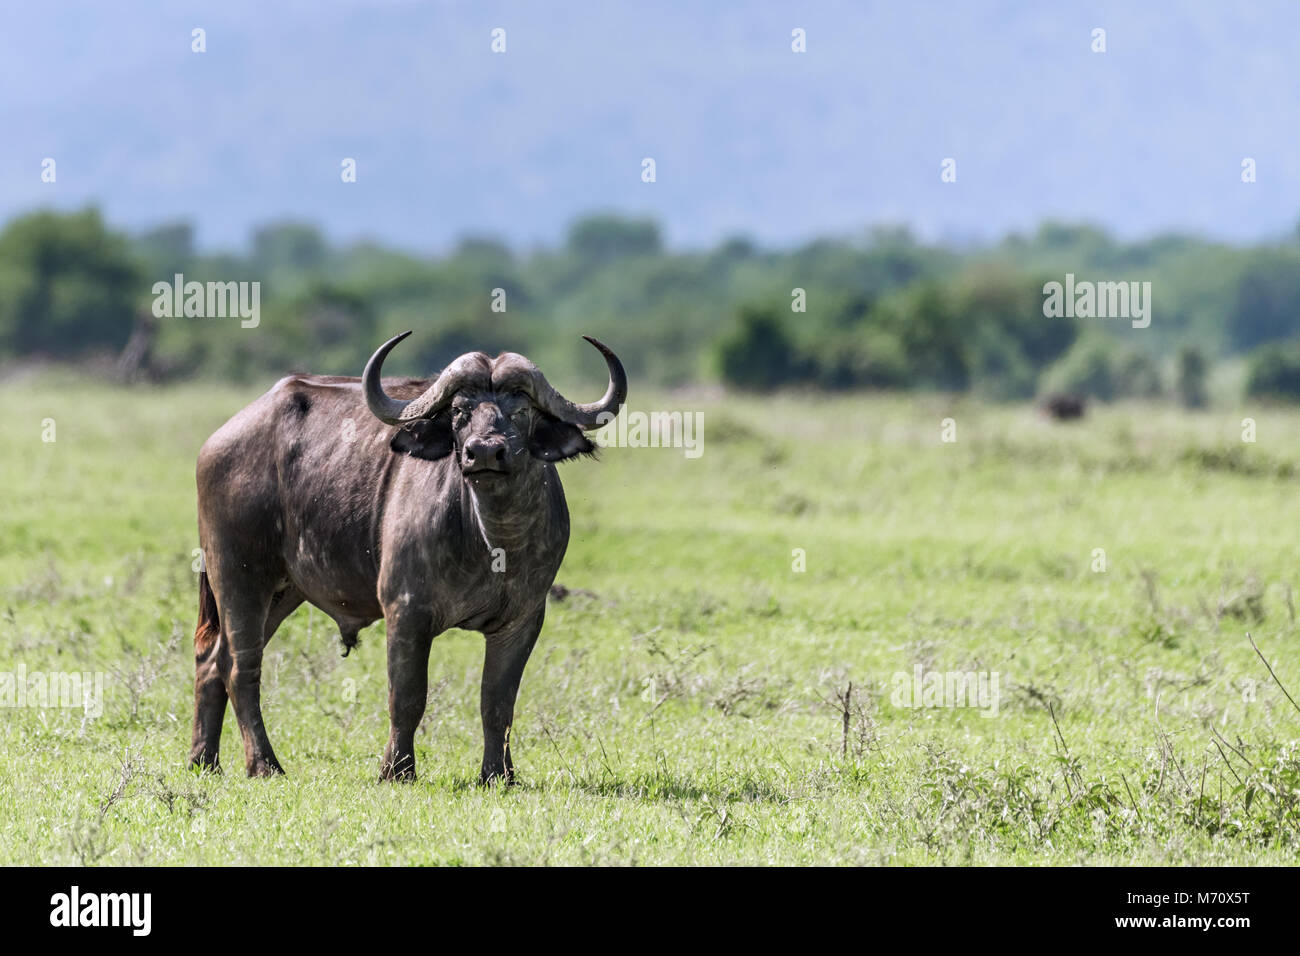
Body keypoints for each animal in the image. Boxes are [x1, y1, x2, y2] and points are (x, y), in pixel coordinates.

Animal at [190, 332, 626, 783]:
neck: (492, 541)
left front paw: (498, 774)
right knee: (242, 668)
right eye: (459, 411)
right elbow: (408, 696)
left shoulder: (522, 620)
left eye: (520, 411)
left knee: (213, 659)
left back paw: (204, 760)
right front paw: (396, 770)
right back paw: (264, 764)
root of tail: (218, 442)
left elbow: (497, 702)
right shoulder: (406, 612)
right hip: (239, 576)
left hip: (282, 590)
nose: (485, 452)